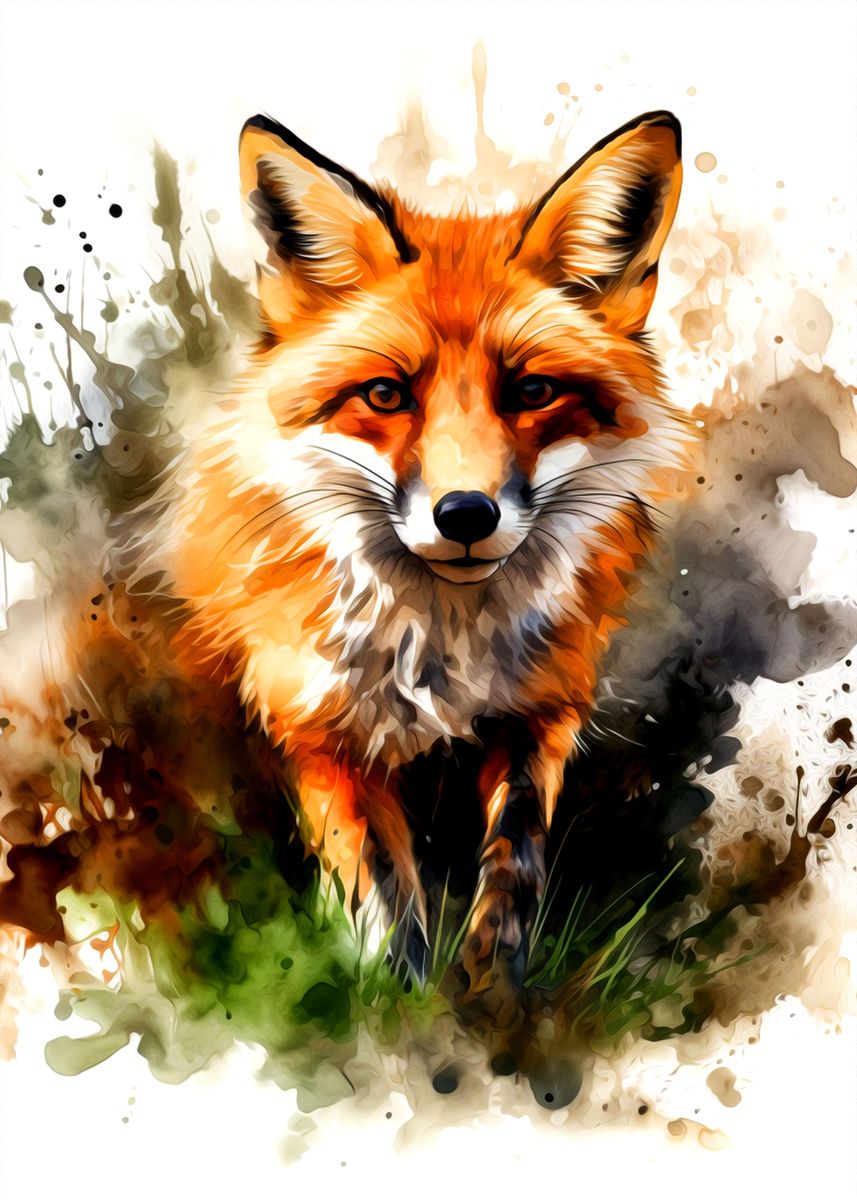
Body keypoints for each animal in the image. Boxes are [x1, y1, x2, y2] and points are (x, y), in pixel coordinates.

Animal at [0, 110, 689, 1009]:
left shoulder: (540, 713)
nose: (465, 515)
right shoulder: (321, 731)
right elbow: (384, 897)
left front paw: (491, 999)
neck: (444, 642)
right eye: (386, 395)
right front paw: (405, 1016)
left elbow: (513, 868)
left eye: (532, 393)